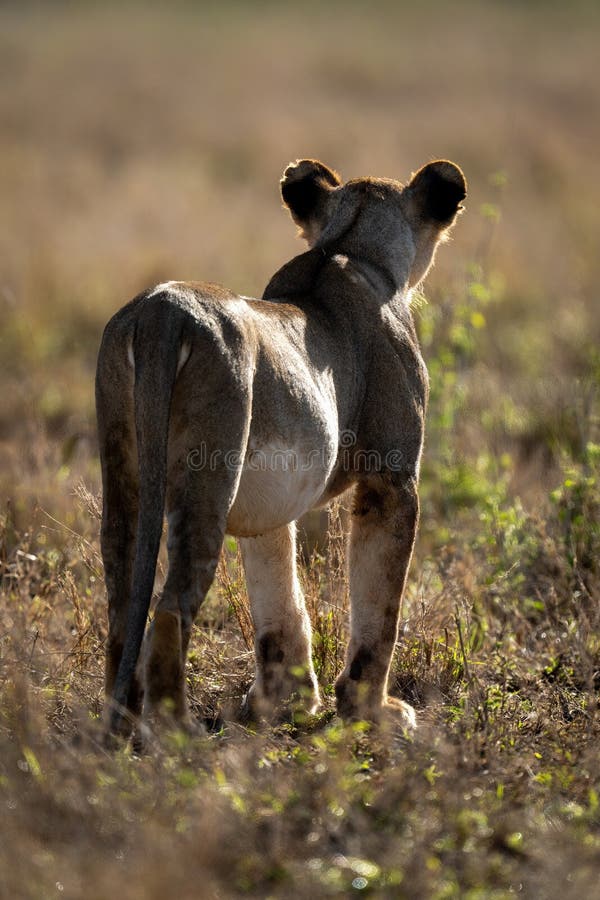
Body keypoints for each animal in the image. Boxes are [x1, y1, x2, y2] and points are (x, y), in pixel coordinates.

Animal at [96, 157, 466, 738]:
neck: (352, 247)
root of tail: (162, 310)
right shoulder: (392, 479)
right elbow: (380, 603)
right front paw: (373, 710)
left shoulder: (269, 502)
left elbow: (278, 593)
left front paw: (284, 702)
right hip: (207, 478)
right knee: (171, 606)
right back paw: (179, 734)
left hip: (127, 470)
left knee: (122, 595)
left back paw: (122, 719)